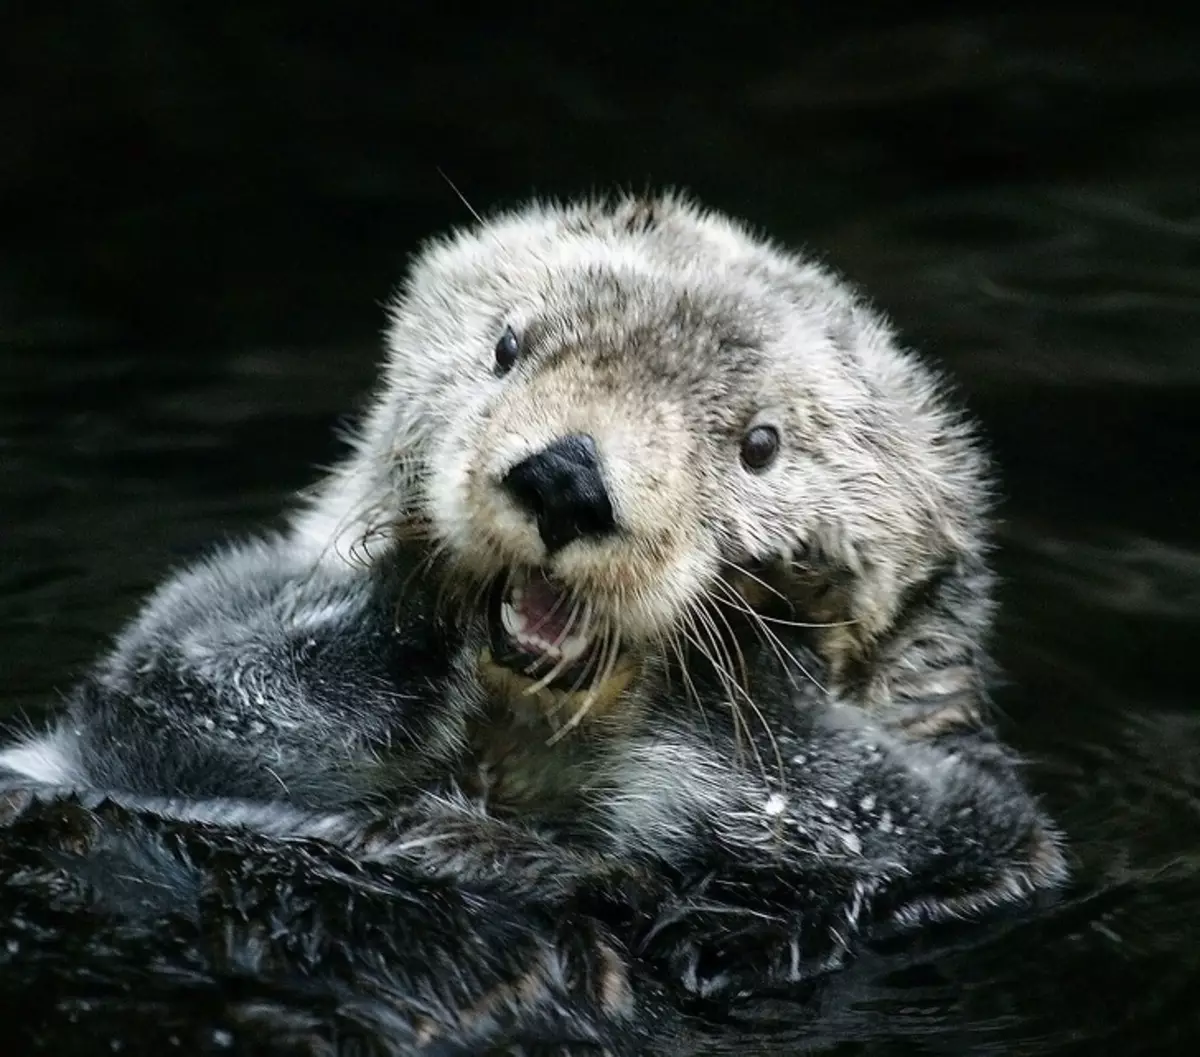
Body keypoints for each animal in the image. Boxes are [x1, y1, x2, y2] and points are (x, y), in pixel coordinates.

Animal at [0, 194, 1070, 1051]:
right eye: (507, 348)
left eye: (760, 444)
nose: (566, 477)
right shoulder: (157, 696)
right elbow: (178, 683)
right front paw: (414, 591)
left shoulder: (966, 825)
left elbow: (939, 826)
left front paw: (755, 654)